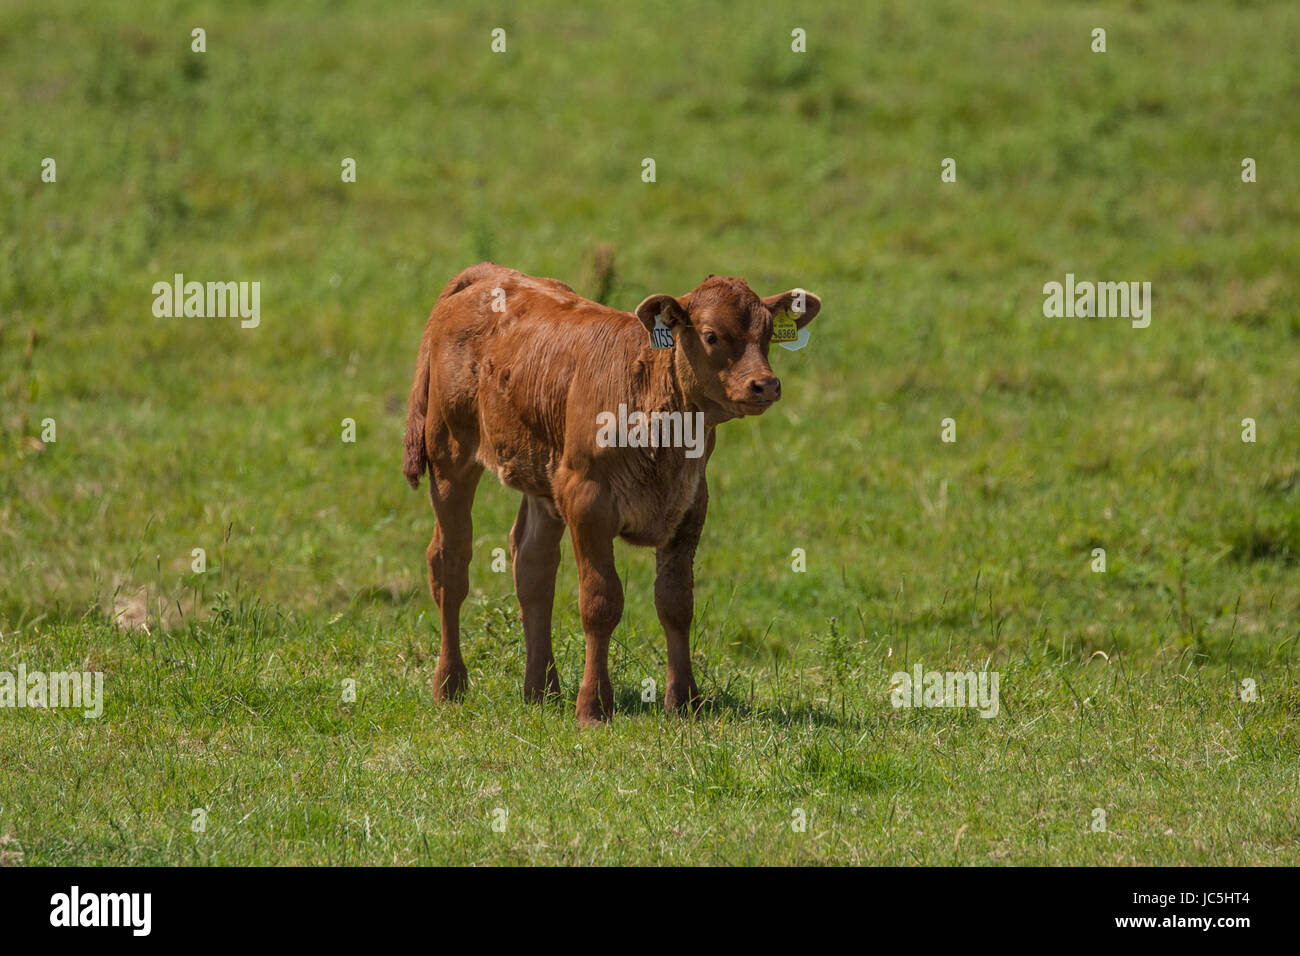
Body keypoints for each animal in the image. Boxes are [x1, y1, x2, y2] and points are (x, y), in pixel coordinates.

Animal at [403, 263, 821, 726]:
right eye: (711, 335)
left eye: (766, 334)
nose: (765, 384)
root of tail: (488, 273)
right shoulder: (588, 503)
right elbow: (601, 603)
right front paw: (594, 706)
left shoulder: (691, 505)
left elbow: (676, 603)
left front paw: (685, 700)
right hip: (450, 456)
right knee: (450, 565)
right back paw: (450, 685)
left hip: (545, 476)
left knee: (533, 568)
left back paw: (541, 690)